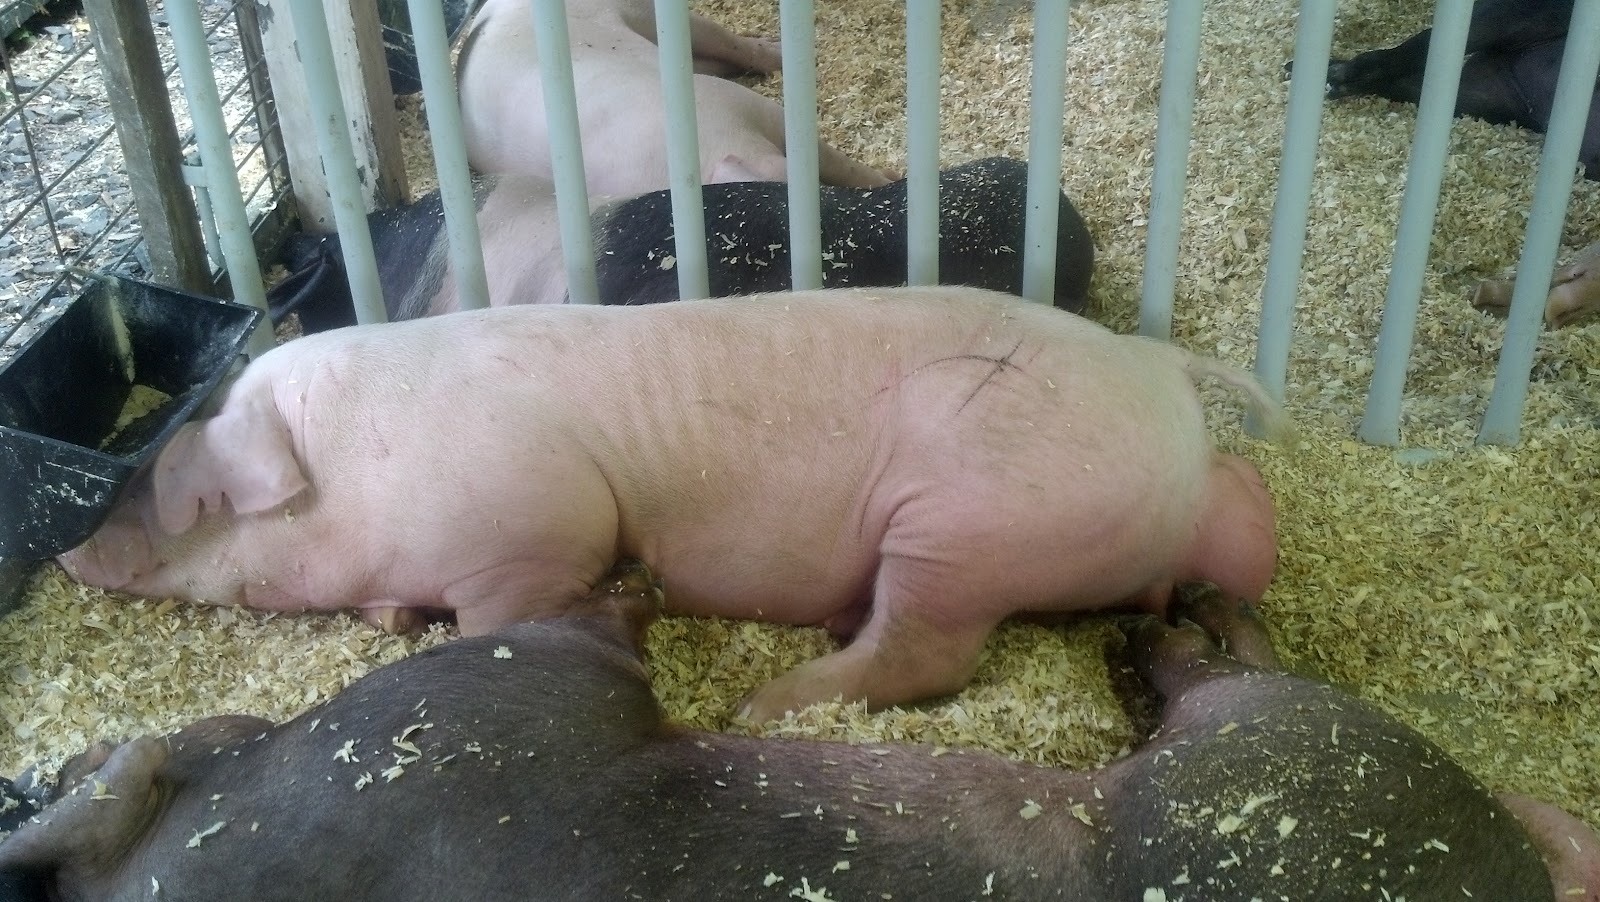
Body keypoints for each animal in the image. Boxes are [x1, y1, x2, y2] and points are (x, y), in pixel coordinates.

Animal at [59, 286, 1284, 722]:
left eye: (188, 498)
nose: (69, 552)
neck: (365, 465)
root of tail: (1163, 372)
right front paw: (392, 618)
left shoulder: (532, 525)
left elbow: (511, 614)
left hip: (965, 526)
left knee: (924, 653)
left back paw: (763, 703)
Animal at [456, 0, 892, 195]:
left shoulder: (753, 109)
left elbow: (842, 165)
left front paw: (888, 179)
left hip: (646, 12)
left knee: (727, 45)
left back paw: (782, 52)